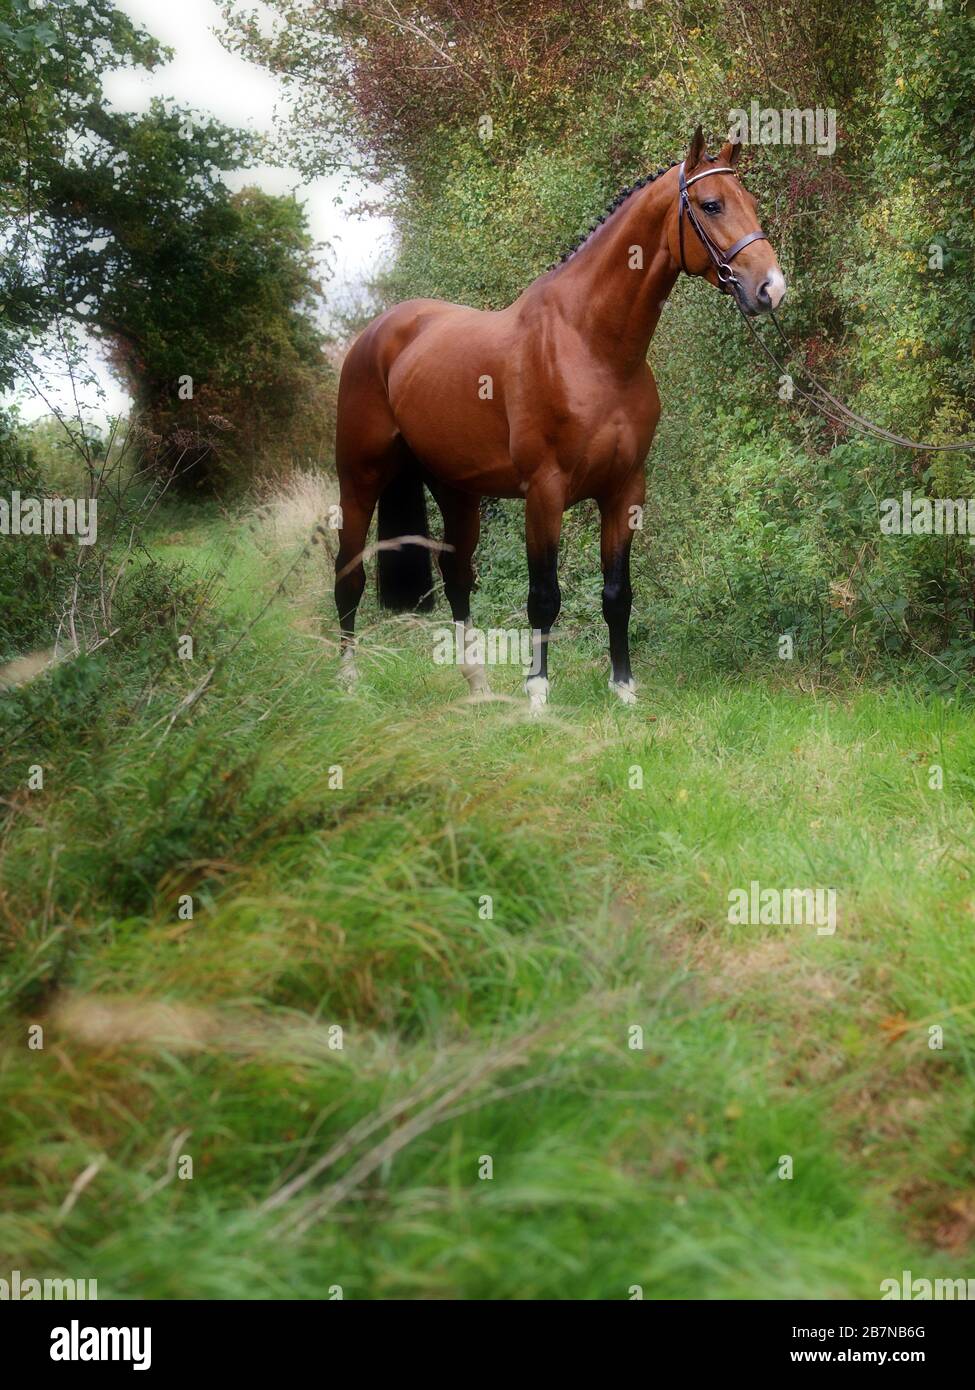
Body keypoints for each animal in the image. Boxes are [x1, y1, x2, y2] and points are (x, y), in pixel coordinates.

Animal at [333, 126, 785, 710]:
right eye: (711, 205)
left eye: (750, 201)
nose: (771, 287)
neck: (592, 346)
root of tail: (377, 333)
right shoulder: (545, 493)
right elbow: (544, 596)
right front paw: (538, 693)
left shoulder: (624, 490)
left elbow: (617, 593)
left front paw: (623, 688)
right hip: (359, 480)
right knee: (349, 574)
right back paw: (348, 679)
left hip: (456, 489)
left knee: (456, 573)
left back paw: (478, 687)